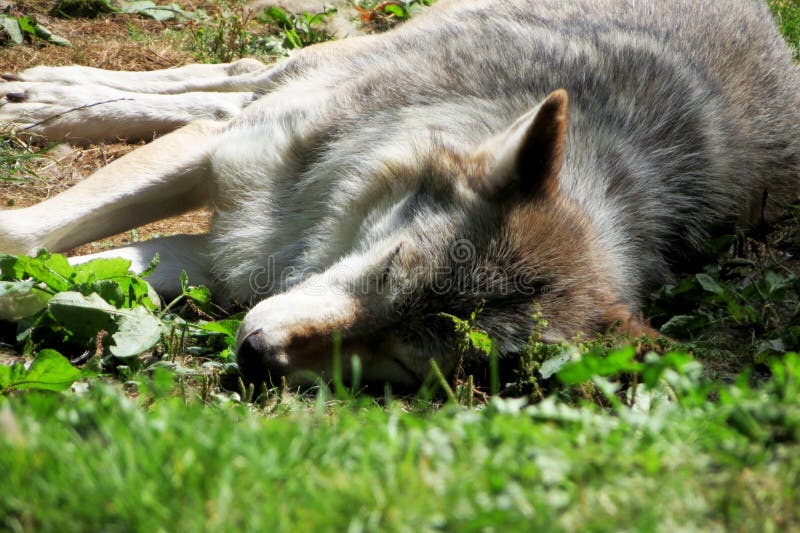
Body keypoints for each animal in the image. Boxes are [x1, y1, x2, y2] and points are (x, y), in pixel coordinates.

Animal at [0, 0, 798, 387]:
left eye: (408, 365)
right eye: (391, 270)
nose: (255, 354)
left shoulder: (227, 263)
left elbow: (67, 277)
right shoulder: (227, 159)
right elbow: (25, 234)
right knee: (239, 76)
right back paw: (44, 101)